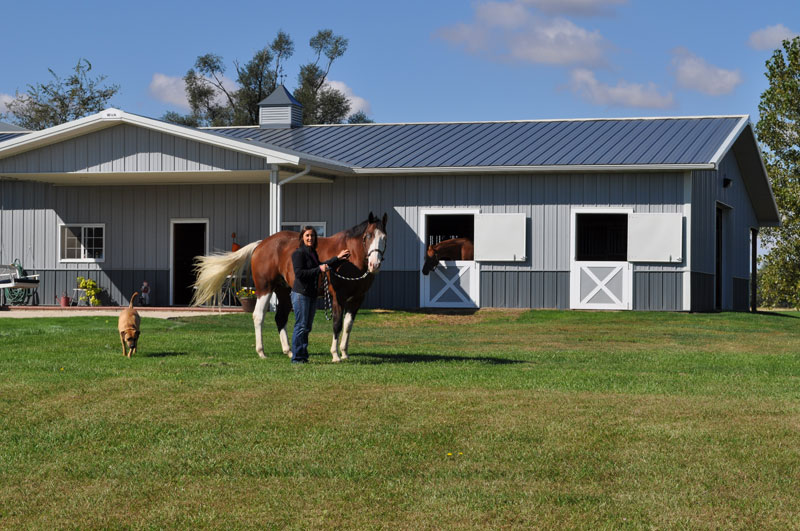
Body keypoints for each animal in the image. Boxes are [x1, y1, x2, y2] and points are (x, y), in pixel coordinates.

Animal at [191, 212, 388, 362]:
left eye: (384, 237)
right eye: (368, 236)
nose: (375, 264)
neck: (350, 259)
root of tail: (261, 244)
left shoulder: (357, 299)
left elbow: (347, 325)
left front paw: (345, 353)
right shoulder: (337, 297)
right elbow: (337, 324)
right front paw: (335, 355)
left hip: (284, 291)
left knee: (280, 318)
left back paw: (289, 351)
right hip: (265, 289)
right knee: (258, 316)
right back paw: (261, 352)